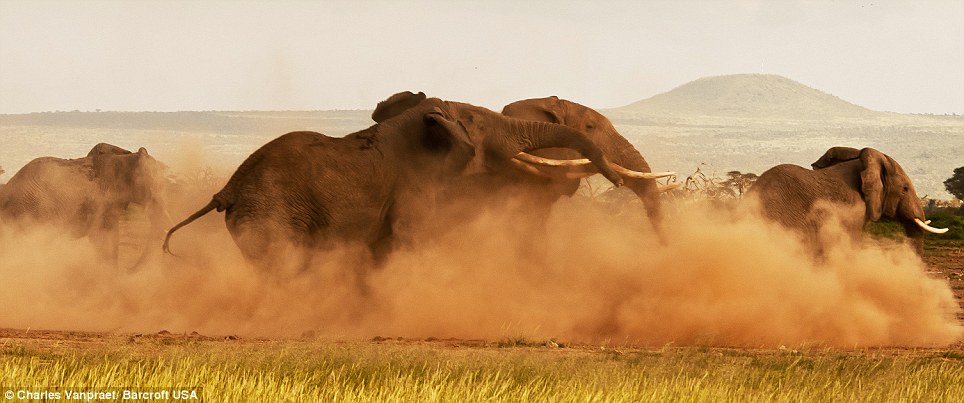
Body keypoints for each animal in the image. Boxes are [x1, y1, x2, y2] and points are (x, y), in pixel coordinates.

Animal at [163, 94, 628, 272]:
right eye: (478, 123)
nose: (614, 183)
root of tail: (226, 188)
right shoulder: (414, 188)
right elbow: (408, 241)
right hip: (267, 213)